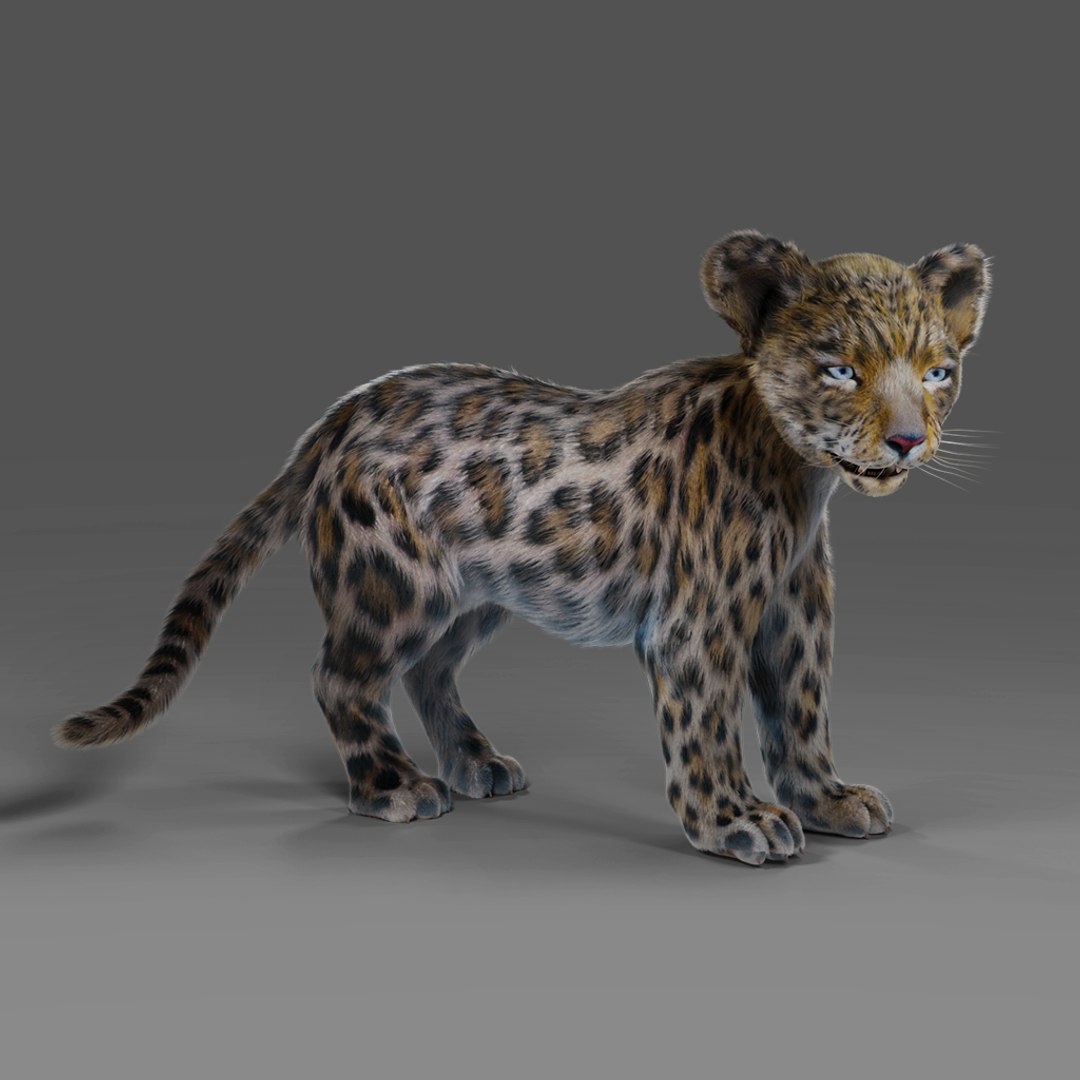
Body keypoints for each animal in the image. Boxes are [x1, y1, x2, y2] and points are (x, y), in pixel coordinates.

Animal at [55, 230, 991, 865]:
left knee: (428, 671)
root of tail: (340, 414)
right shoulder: (697, 624)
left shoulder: (794, 612)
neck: (800, 476)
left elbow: (799, 709)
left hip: (480, 593)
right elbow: (708, 724)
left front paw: (828, 798)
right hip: (395, 584)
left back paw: (477, 762)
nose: (908, 441)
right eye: (840, 370)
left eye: (937, 371)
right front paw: (734, 821)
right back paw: (396, 787)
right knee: (341, 676)